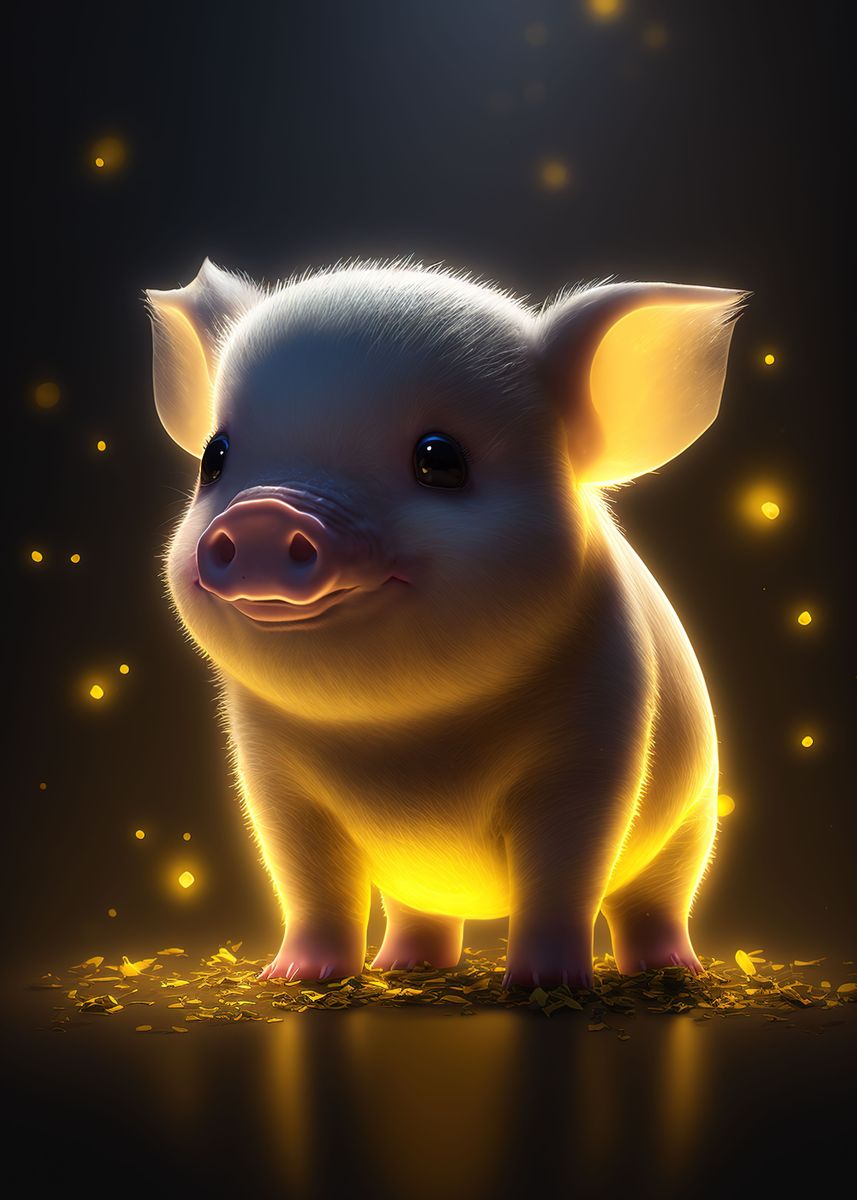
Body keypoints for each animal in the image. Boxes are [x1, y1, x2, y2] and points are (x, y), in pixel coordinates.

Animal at [145, 258, 745, 988]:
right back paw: (405, 967)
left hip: (692, 818)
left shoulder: (597, 745)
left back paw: (668, 971)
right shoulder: (272, 776)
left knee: (654, 898)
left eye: (439, 459)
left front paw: (544, 985)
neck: (402, 736)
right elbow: (308, 879)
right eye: (215, 458)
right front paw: (296, 979)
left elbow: (564, 873)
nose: (263, 512)